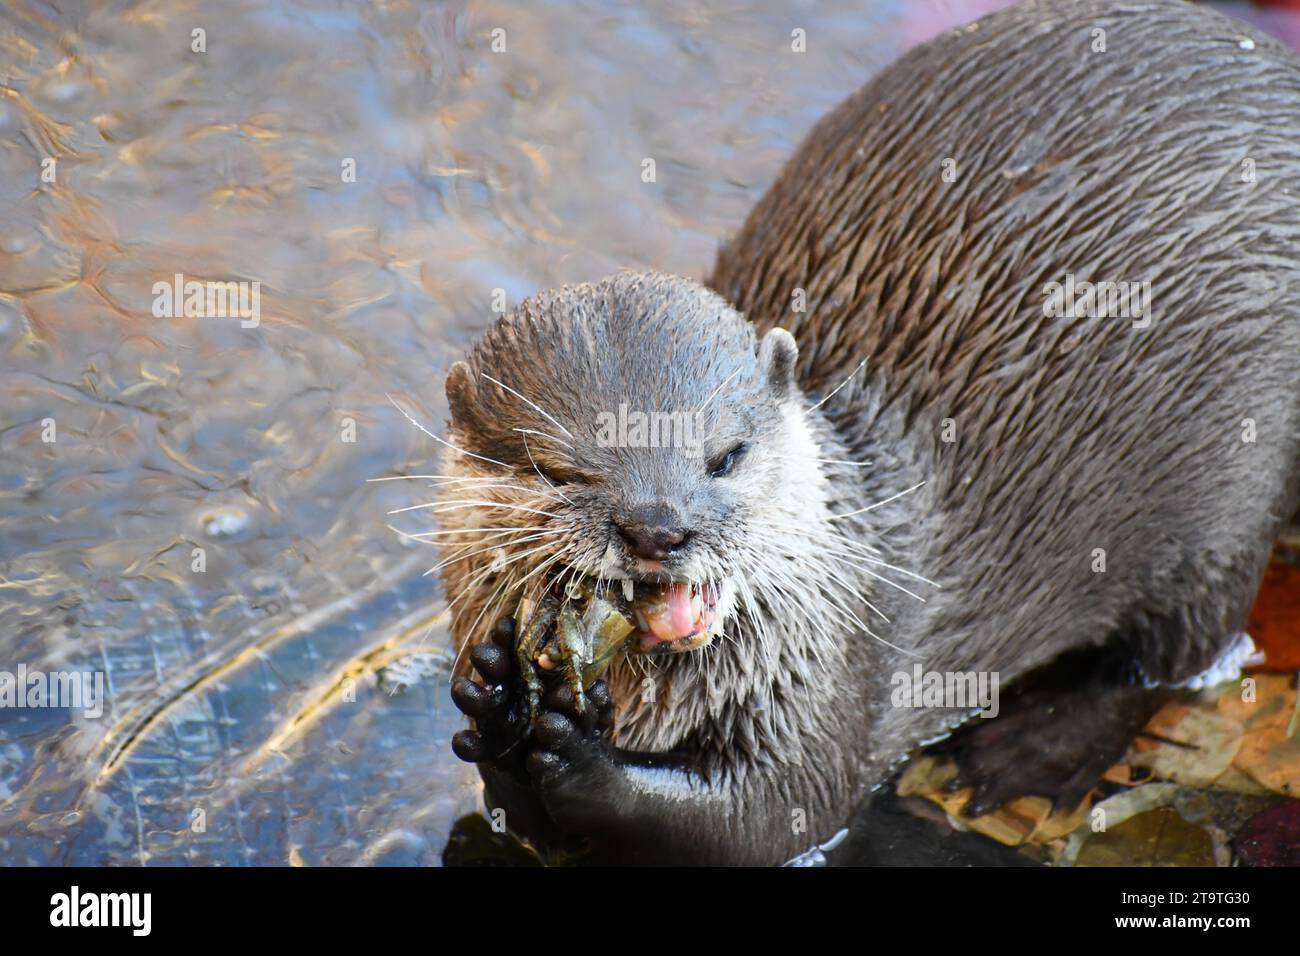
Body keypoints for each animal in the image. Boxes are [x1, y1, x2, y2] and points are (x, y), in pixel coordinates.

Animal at [440, 0, 1300, 865]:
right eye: (556, 470)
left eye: (725, 456)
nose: (660, 527)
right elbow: (520, 820)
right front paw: (497, 703)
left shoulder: (825, 687)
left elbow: (769, 813)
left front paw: (579, 752)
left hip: (1228, 499)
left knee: (1180, 657)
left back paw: (1023, 751)